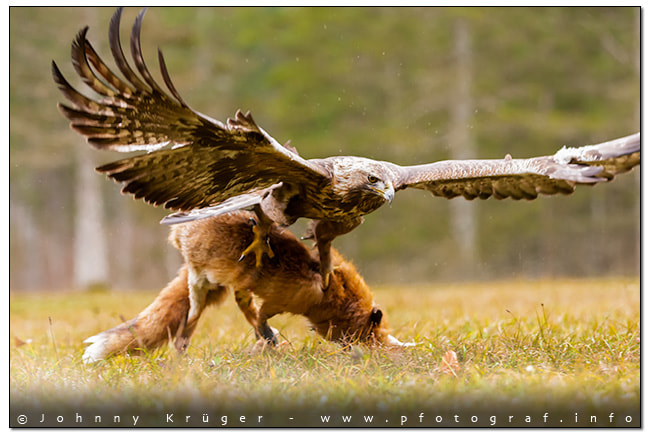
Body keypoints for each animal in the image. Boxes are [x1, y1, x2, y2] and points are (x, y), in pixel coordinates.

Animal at [83, 211, 409, 363]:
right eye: (370, 340)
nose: (375, 352)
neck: (337, 299)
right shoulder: (284, 299)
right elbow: (262, 315)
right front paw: (267, 335)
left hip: (223, 285)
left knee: (230, 305)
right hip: (202, 280)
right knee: (193, 318)